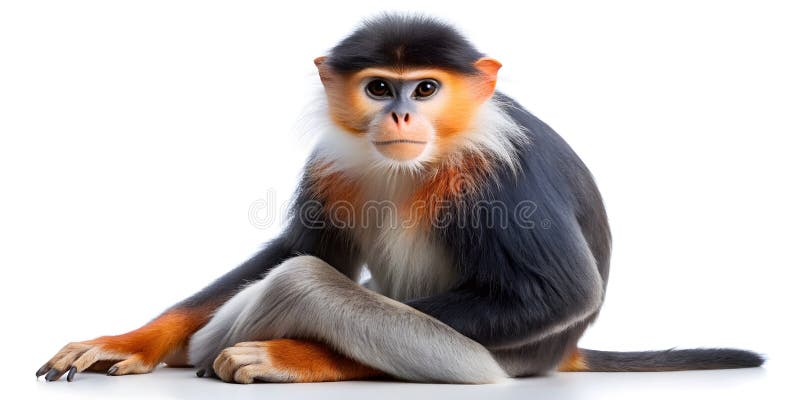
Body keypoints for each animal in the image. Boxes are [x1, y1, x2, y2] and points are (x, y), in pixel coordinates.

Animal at [37, 14, 763, 384]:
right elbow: (298, 246)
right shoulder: (333, 157)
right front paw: (128, 340)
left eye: (426, 88)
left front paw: (302, 351)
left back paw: (289, 355)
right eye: (381, 87)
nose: (401, 116)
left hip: (500, 358)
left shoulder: (501, 170)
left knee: (307, 284)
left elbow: (559, 293)